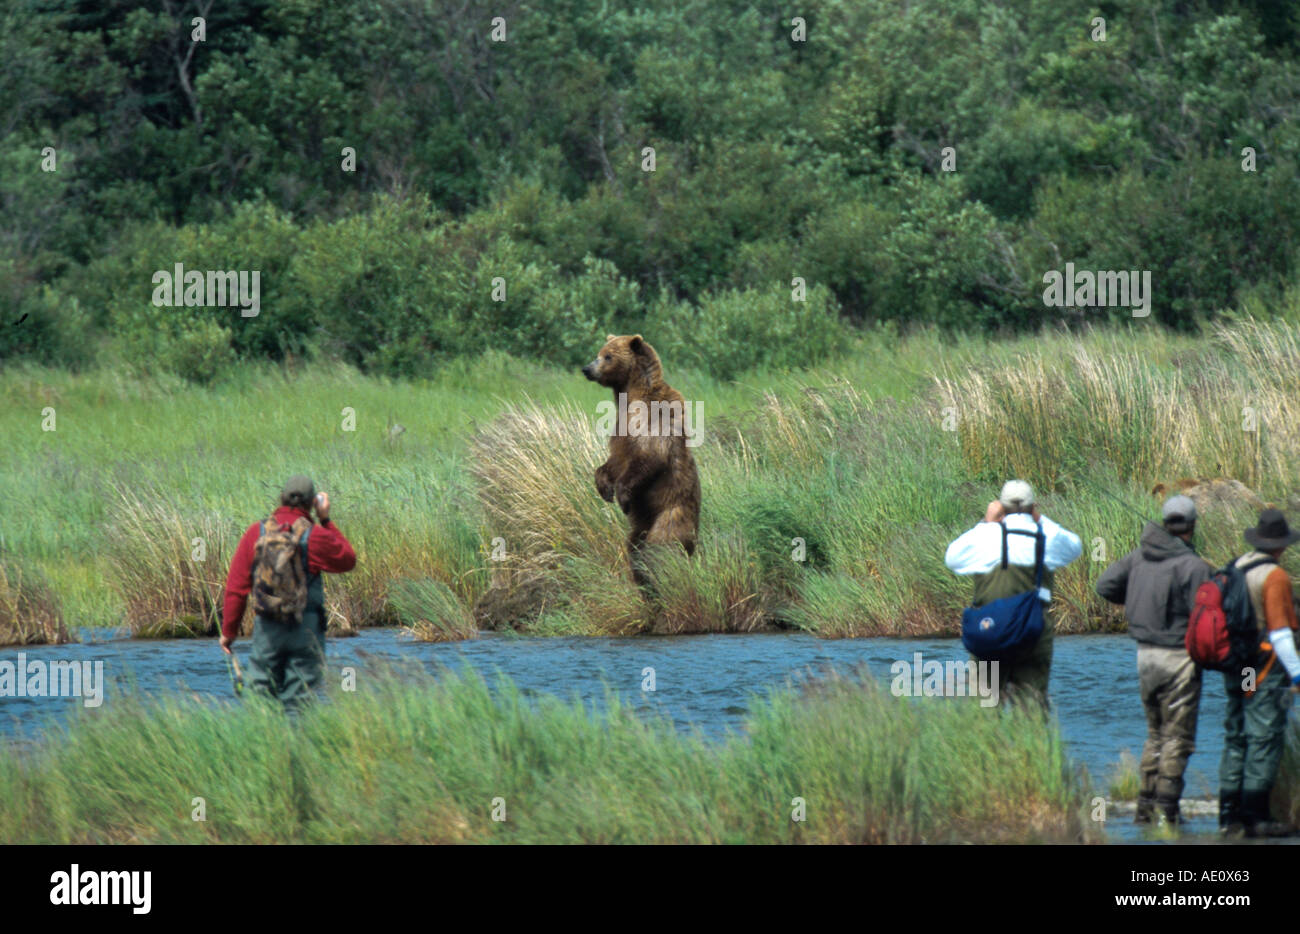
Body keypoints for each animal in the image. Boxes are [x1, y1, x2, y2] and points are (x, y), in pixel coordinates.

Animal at [582, 334, 701, 586]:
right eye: (599, 353)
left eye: (608, 356)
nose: (587, 369)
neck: (631, 395)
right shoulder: (620, 429)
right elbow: (615, 460)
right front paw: (604, 488)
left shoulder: (652, 420)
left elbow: (649, 457)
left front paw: (623, 498)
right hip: (640, 527)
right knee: (634, 548)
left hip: (671, 514)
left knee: (661, 548)